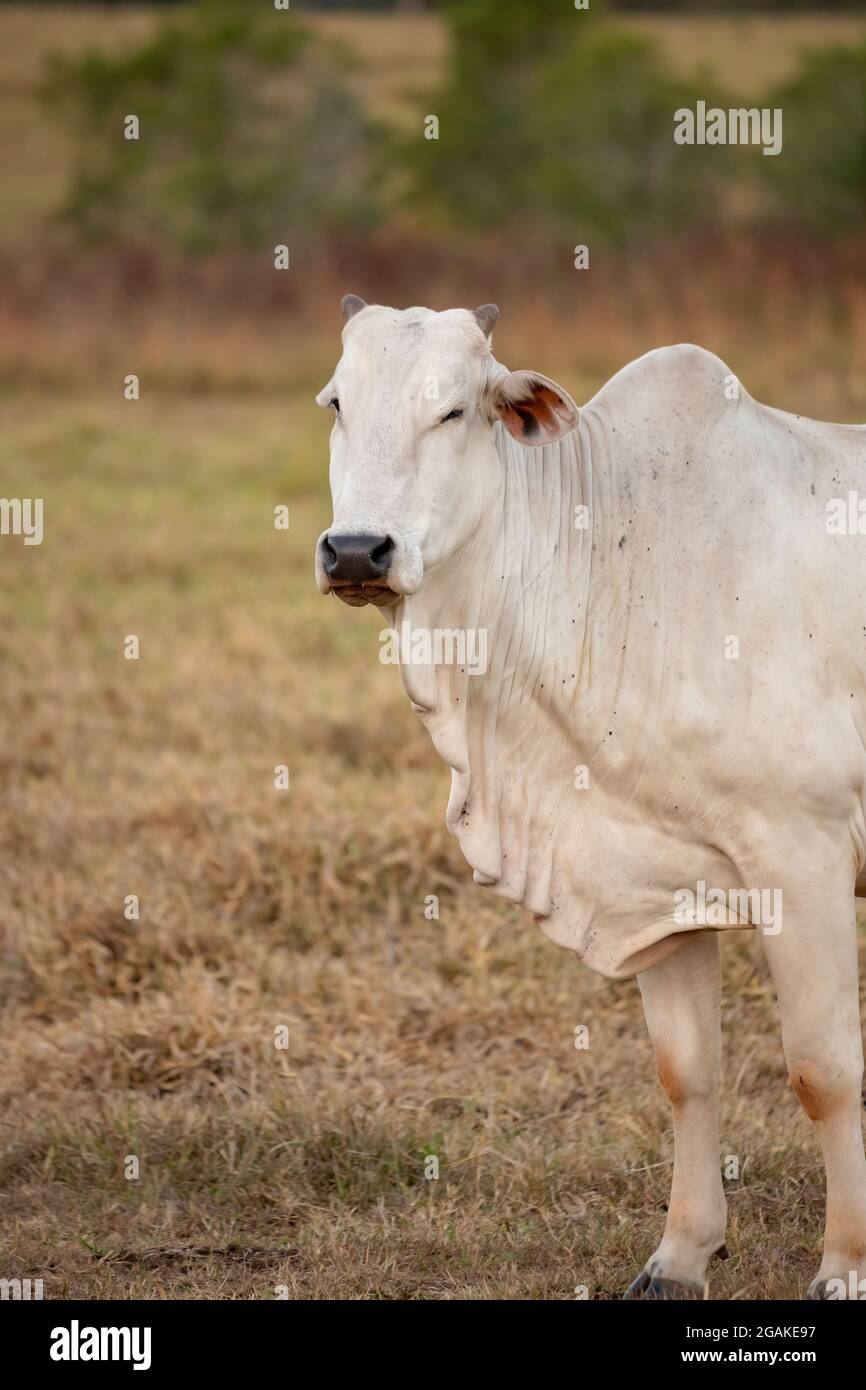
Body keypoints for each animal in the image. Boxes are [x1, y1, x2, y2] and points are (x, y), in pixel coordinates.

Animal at [314, 294, 866, 1300]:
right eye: (338, 402)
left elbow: (824, 1072)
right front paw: (681, 1255)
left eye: (455, 410)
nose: (357, 550)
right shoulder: (656, 879)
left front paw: (845, 1264)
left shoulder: (801, 857)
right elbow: (687, 1072)